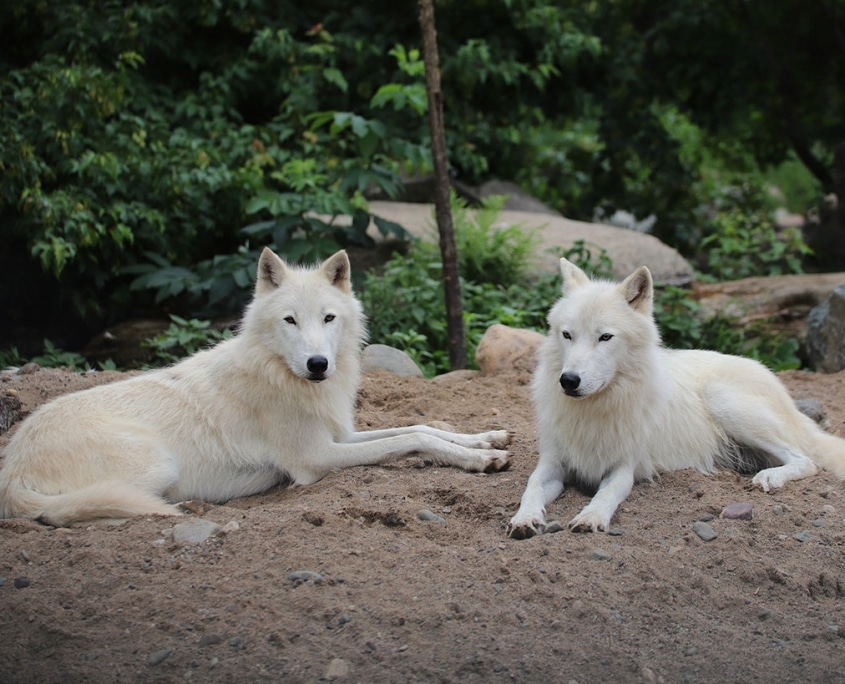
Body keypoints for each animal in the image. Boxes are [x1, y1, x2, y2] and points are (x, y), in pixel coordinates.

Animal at [0, 249, 512, 526]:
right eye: (290, 320)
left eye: (328, 318)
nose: (318, 364)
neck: (281, 373)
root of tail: (11, 467)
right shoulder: (316, 458)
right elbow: (410, 439)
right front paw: (478, 460)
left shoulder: (339, 435)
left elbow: (419, 426)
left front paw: (486, 440)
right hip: (154, 465)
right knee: (69, 513)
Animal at [508, 257, 845, 538]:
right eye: (567, 335)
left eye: (605, 337)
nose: (568, 380)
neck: (596, 409)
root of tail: (774, 379)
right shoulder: (552, 464)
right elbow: (531, 488)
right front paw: (523, 519)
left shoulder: (623, 470)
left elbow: (605, 495)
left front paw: (591, 517)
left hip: (722, 400)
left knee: (807, 460)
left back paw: (770, 477)